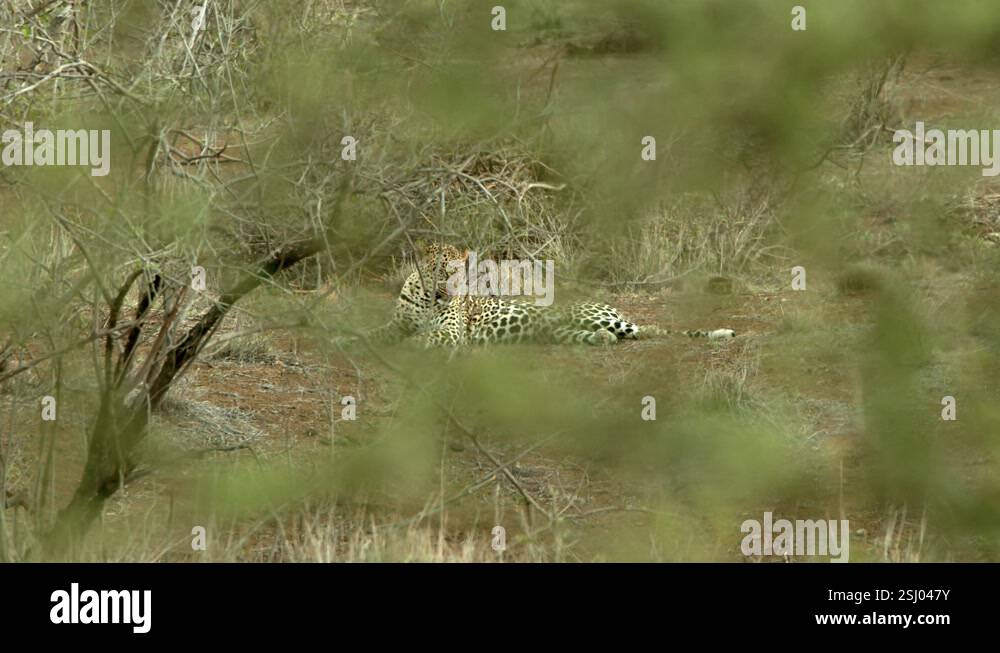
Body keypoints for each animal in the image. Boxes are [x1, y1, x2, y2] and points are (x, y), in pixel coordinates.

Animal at [364, 243, 735, 348]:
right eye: (442, 270)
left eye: (460, 271)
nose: (451, 289)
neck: (428, 298)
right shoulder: (396, 324)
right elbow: (375, 332)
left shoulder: (452, 332)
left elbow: (428, 337)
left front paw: (411, 346)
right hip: (564, 330)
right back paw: (601, 340)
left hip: (583, 315)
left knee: (640, 332)